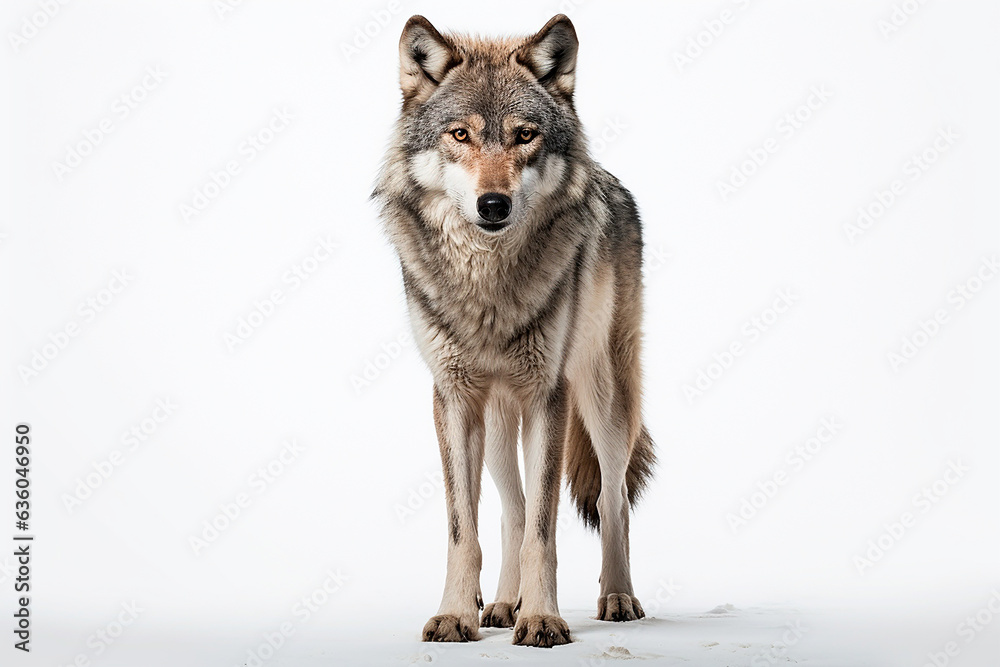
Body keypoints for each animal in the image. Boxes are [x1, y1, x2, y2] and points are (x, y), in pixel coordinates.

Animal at [372, 14, 655, 648]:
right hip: (500, 422)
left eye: (525, 136)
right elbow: (466, 530)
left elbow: (545, 533)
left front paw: (544, 619)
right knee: (513, 508)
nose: (493, 204)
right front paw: (457, 614)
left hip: (601, 398)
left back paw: (618, 596)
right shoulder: (454, 399)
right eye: (460, 135)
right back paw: (502, 605)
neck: (487, 285)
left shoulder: (549, 395)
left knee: (614, 498)